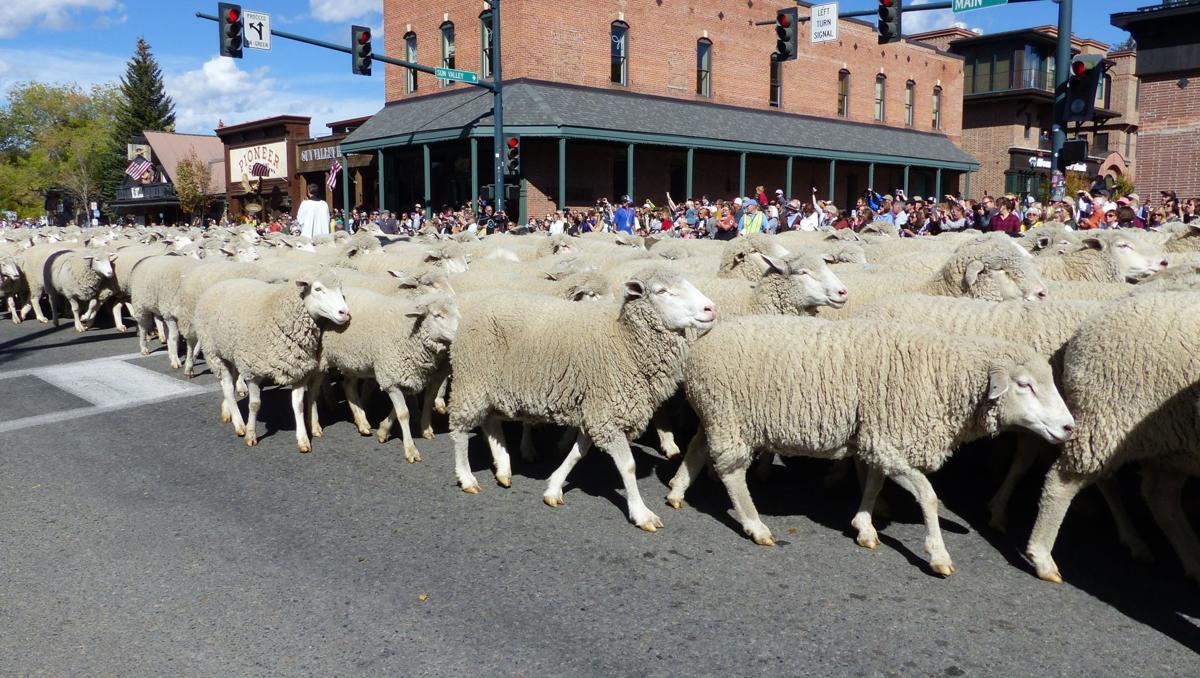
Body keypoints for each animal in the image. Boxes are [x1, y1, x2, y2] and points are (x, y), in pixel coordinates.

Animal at [194, 271, 350, 453]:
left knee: (230, 383)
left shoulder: (298, 370)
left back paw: (227, 412)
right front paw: (251, 435)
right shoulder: (252, 369)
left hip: (228, 353)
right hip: (213, 352)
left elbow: (298, 405)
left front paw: (303, 440)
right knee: (227, 388)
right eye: (318, 289)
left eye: (340, 289)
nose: (344, 313)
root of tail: (217, 285)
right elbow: (254, 404)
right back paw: (239, 425)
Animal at [314, 289, 459, 462]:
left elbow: (399, 409)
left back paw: (362, 423)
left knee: (348, 384)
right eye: (438, 315)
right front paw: (410, 450)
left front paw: (383, 431)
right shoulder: (391, 378)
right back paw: (315, 427)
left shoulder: (405, 377)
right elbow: (403, 413)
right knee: (312, 392)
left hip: (354, 361)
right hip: (322, 358)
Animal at [446, 268, 716, 531]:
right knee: (459, 430)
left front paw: (553, 488)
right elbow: (628, 465)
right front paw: (642, 513)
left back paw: (503, 468)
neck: (625, 341)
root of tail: (476, 308)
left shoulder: (596, 411)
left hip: (492, 388)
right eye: (661, 291)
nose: (711, 309)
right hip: (471, 380)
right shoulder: (607, 415)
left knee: (490, 422)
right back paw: (467, 477)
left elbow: (578, 453)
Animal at [668, 315, 1075, 576]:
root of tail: (701, 343)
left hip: (717, 415)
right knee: (732, 472)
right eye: (1024, 385)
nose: (1069, 427)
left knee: (697, 447)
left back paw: (676, 491)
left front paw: (865, 526)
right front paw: (938, 554)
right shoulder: (889, 441)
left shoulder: (878, 437)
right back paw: (756, 525)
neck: (942, 376)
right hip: (729, 417)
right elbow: (927, 495)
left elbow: (876, 483)